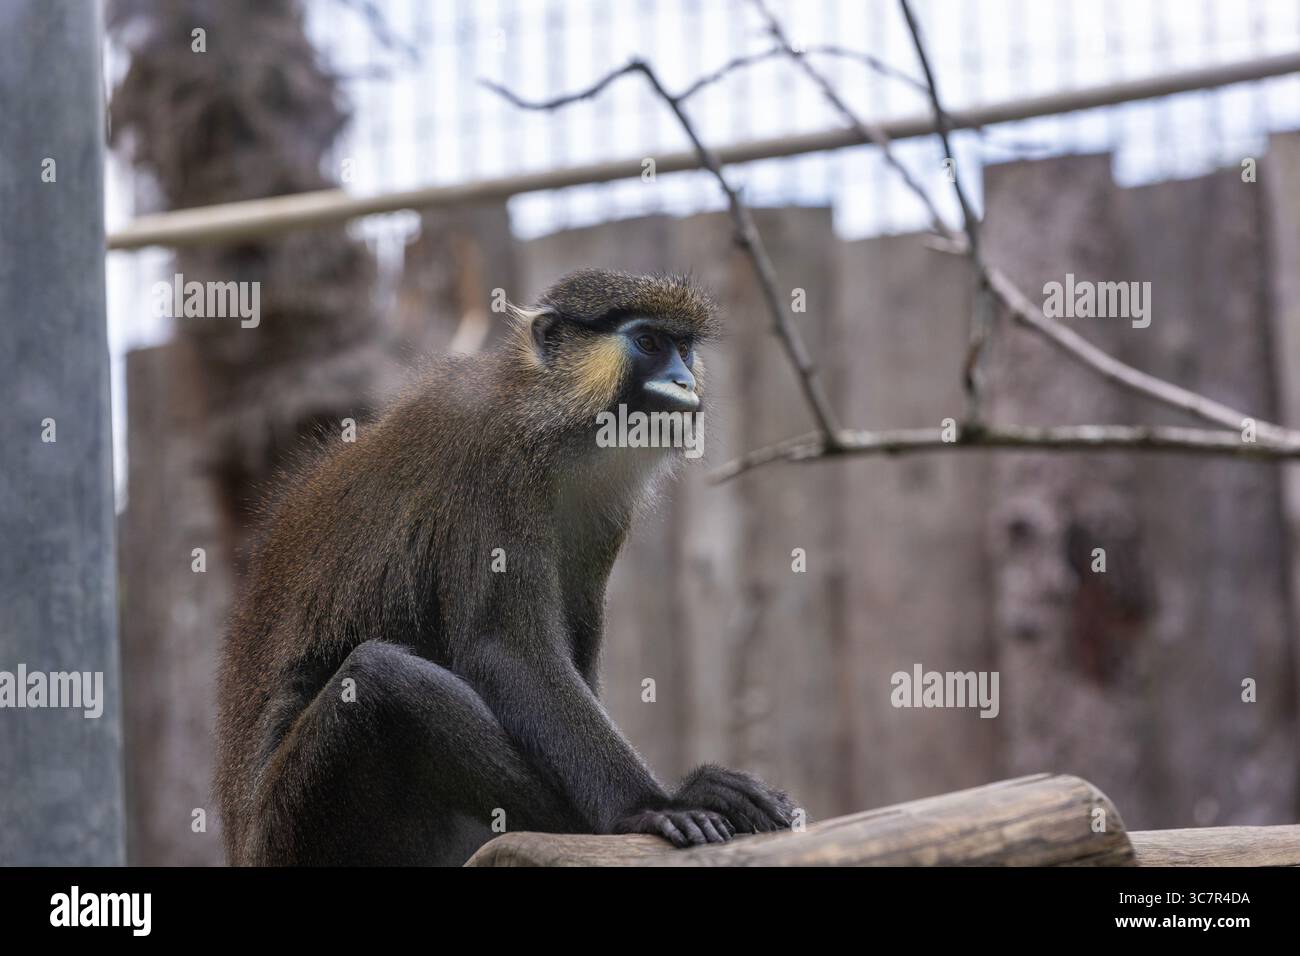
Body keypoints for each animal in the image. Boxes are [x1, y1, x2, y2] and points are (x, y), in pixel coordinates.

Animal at [215, 269, 797, 866]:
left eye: (684, 348)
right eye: (649, 342)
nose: (684, 382)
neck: (557, 426)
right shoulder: (492, 463)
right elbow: (510, 653)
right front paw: (657, 805)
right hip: (293, 827)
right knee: (382, 679)